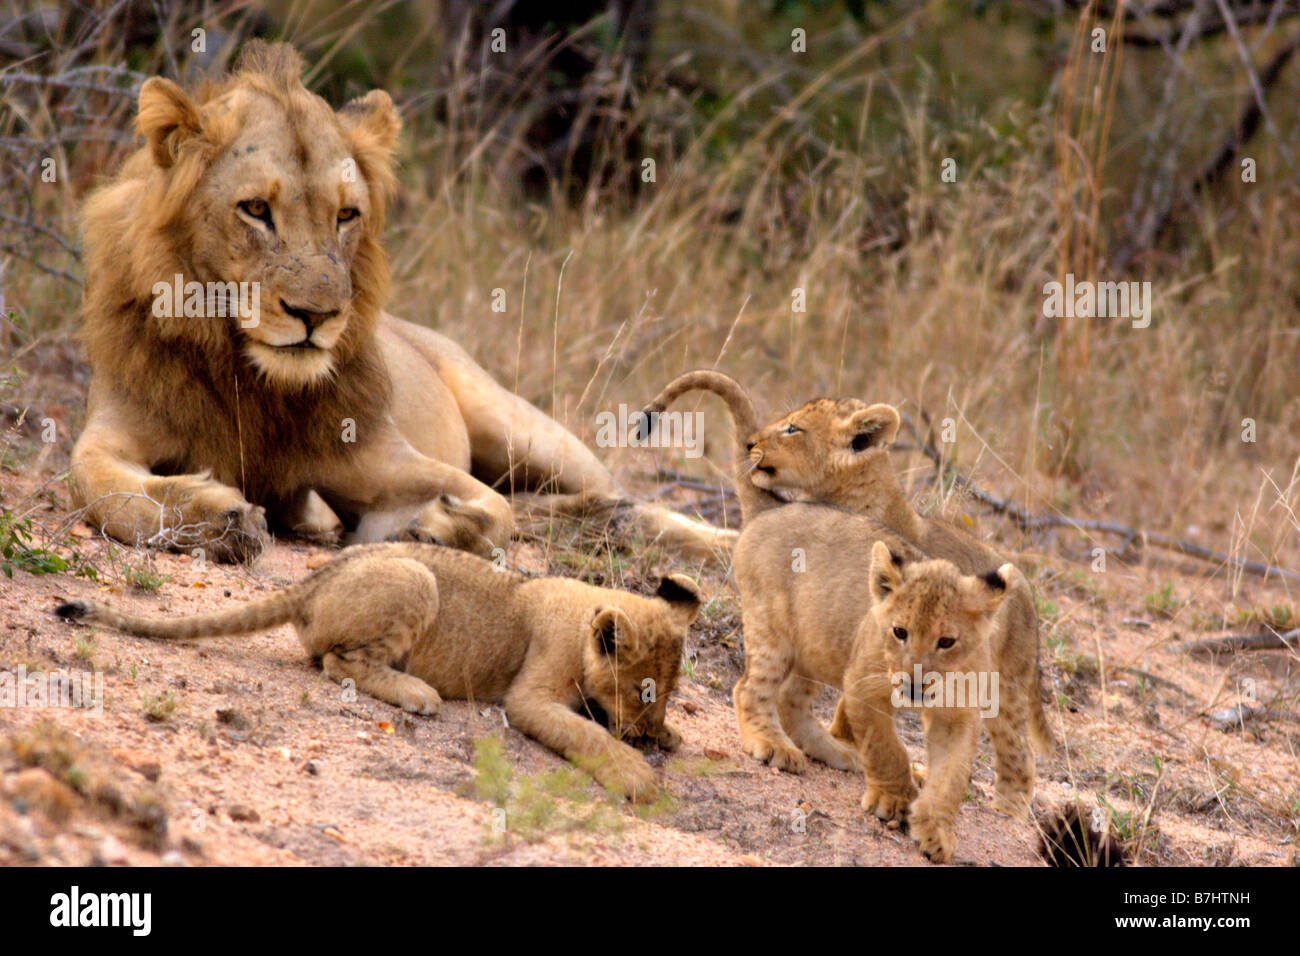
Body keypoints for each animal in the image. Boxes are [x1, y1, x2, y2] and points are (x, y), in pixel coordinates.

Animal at [56, 541, 700, 802]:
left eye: (668, 693)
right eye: (642, 690)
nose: (648, 735)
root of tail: (313, 579)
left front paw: (668, 737)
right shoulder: (531, 695)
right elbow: (587, 732)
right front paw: (636, 772)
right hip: (416, 580)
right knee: (339, 661)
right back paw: (417, 692)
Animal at [69, 41, 732, 566]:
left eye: (346, 215)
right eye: (255, 209)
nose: (316, 317)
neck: (251, 378)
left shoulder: (381, 456)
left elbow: (492, 512)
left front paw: (426, 527)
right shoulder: (114, 425)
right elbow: (95, 480)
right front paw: (218, 518)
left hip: (521, 425)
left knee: (622, 497)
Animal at [840, 541, 1027, 863]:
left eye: (946, 642)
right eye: (900, 632)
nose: (914, 684)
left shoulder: (957, 715)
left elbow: (951, 777)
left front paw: (936, 831)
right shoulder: (863, 683)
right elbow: (883, 746)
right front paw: (892, 799)